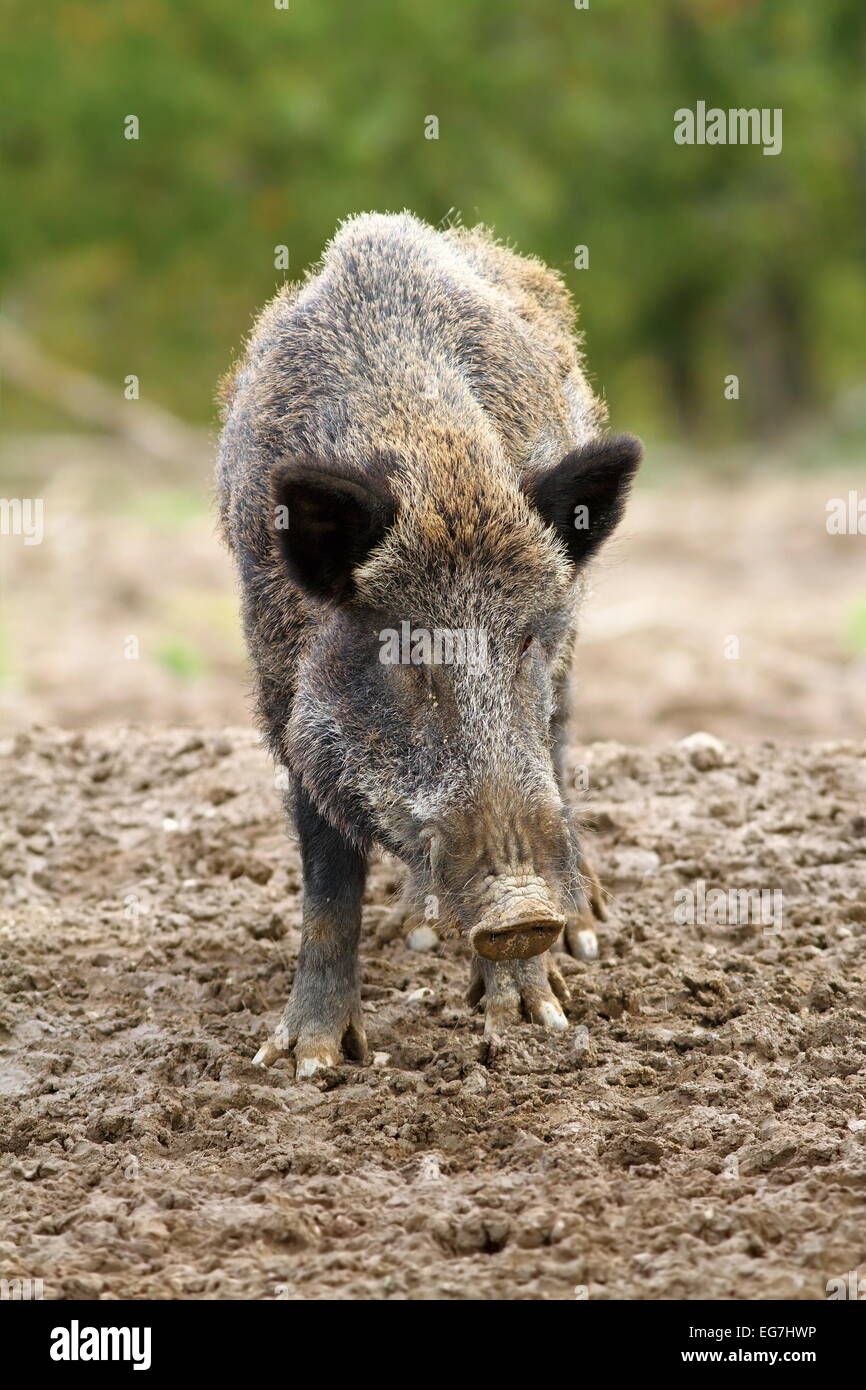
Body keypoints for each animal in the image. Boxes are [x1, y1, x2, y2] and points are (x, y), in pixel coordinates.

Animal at [216, 212, 641, 1076]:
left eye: (523, 641)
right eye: (405, 651)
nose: (524, 910)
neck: (438, 467)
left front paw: (535, 1018)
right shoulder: (284, 697)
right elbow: (328, 874)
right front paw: (306, 1061)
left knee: (561, 740)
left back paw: (582, 930)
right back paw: (416, 930)